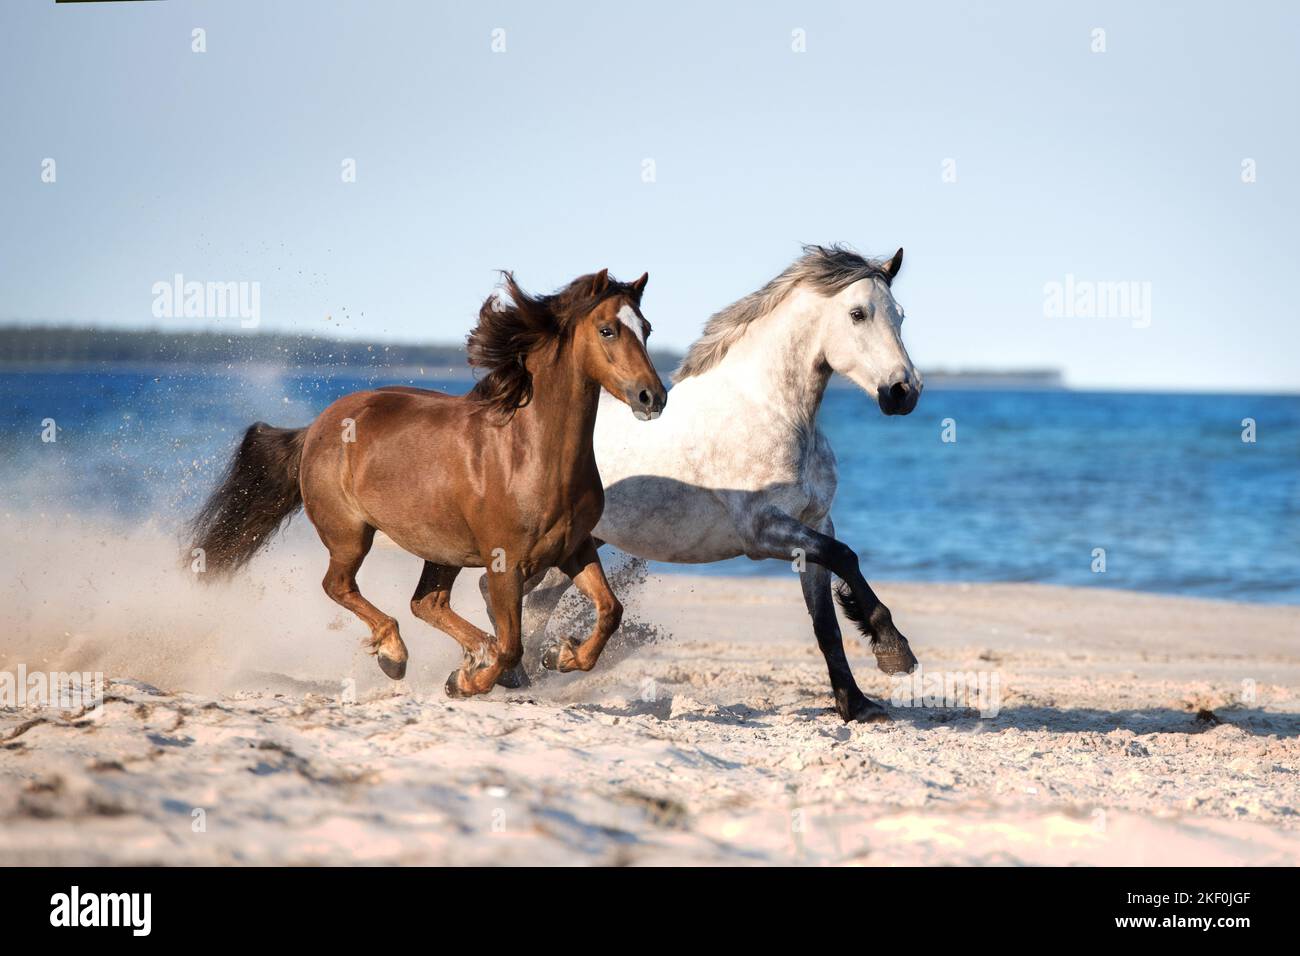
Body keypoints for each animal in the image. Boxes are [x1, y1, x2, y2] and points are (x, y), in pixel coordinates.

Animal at [190, 268, 667, 698]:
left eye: (645, 328)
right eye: (607, 330)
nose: (653, 397)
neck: (529, 455)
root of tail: (317, 428)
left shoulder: (575, 547)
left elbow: (610, 610)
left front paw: (560, 655)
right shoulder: (505, 562)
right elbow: (512, 646)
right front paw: (469, 681)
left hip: (441, 548)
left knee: (426, 603)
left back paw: (467, 654)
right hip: (351, 535)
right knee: (340, 586)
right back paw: (396, 654)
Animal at [499, 245, 921, 722]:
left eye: (900, 314)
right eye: (857, 313)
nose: (903, 392)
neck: (772, 411)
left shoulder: (814, 526)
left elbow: (826, 624)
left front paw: (857, 704)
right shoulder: (763, 532)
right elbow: (846, 557)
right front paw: (894, 650)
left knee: (536, 603)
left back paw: (533, 671)